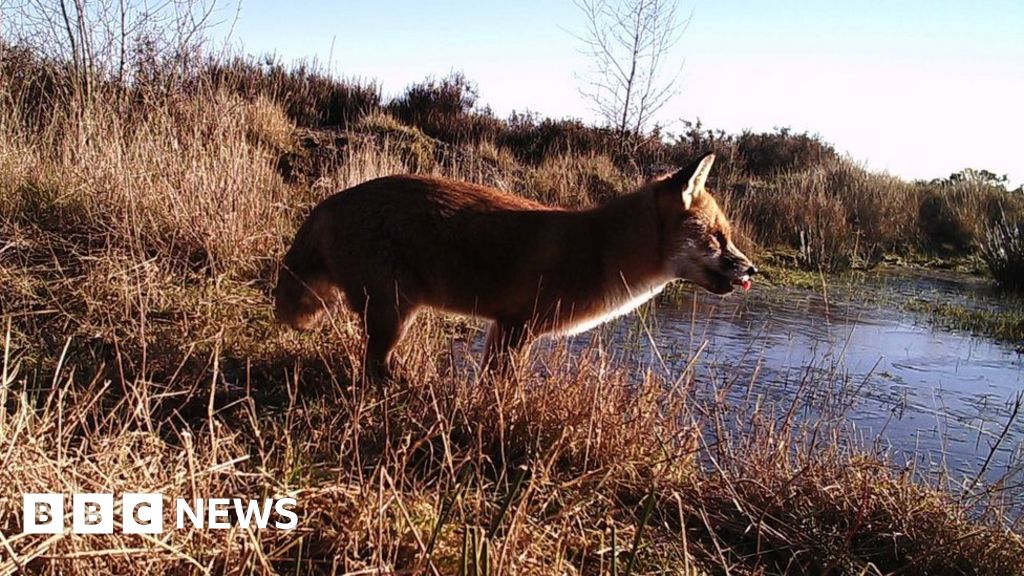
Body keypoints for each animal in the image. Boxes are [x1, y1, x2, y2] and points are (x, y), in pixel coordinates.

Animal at [274, 153, 756, 380]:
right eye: (718, 238)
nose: (751, 270)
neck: (599, 251)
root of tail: (330, 202)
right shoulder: (516, 328)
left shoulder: (503, 329)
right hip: (394, 315)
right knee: (372, 367)